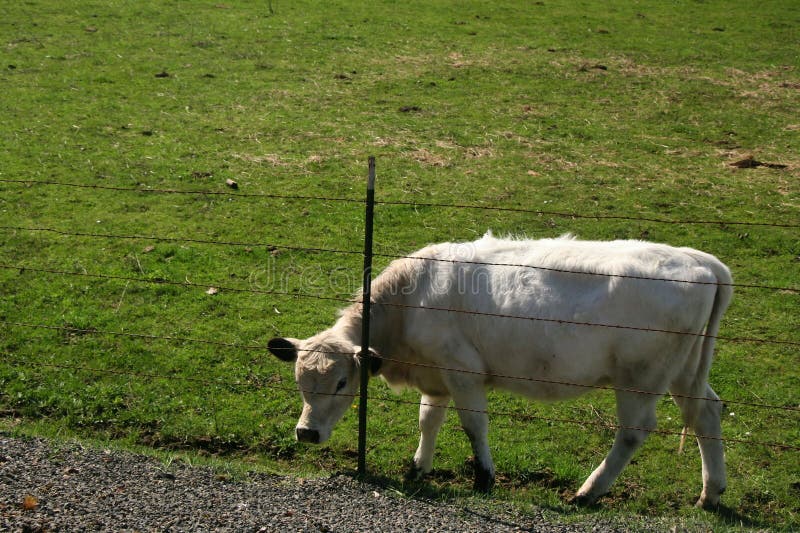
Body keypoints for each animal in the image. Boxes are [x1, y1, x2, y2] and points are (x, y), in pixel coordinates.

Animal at [267, 232, 732, 509]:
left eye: (342, 382)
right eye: (300, 382)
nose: (306, 433)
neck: (410, 301)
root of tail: (699, 260)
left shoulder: (462, 371)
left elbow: (474, 425)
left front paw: (485, 477)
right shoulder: (437, 376)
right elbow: (428, 420)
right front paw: (418, 467)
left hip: (640, 379)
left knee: (634, 433)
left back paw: (588, 491)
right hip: (684, 370)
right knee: (707, 413)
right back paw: (710, 494)